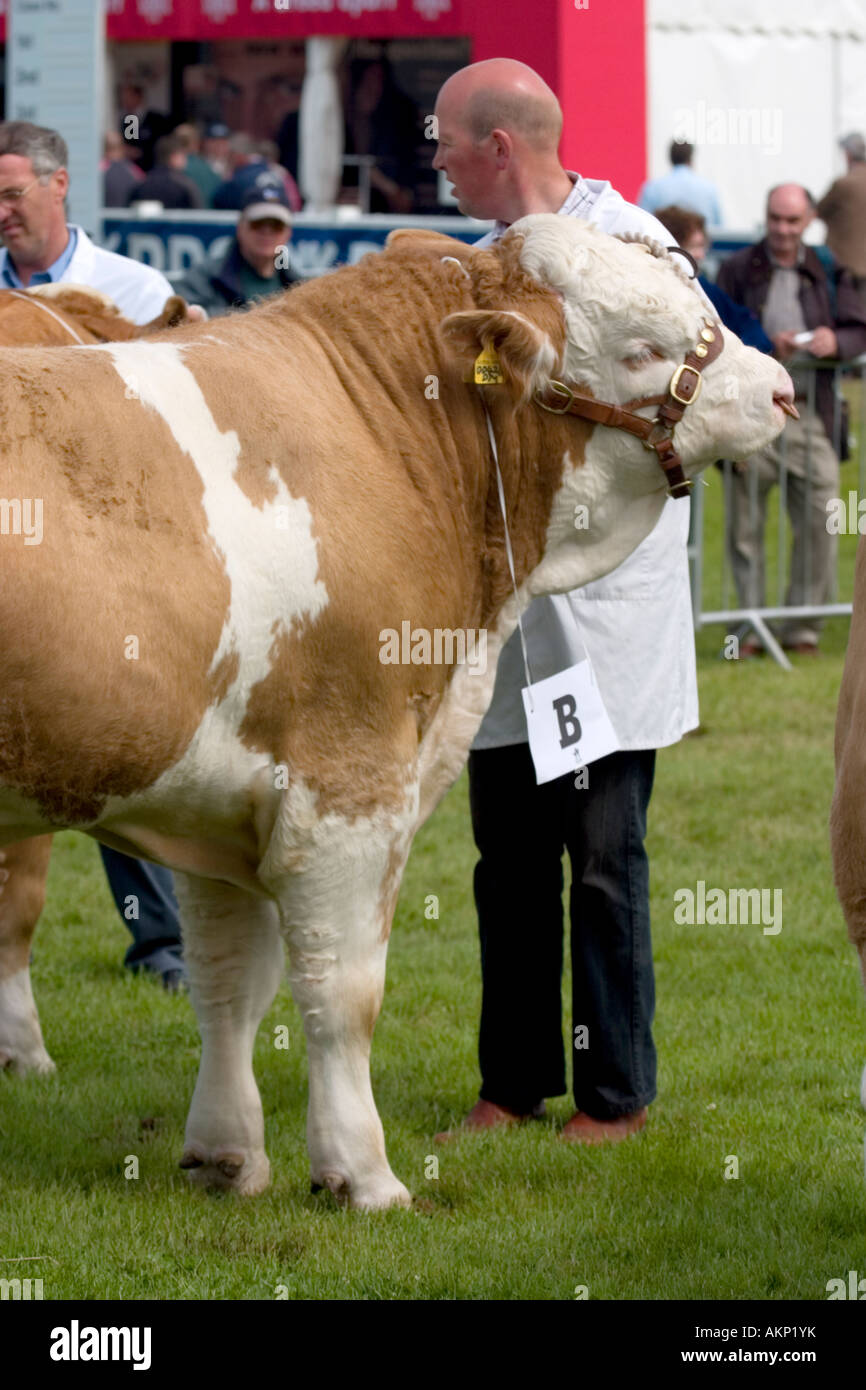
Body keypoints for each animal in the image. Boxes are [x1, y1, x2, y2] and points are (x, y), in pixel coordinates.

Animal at [0, 216, 794, 1209]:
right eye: (641, 349)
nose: (782, 387)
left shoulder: (217, 798)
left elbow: (228, 985)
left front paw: (226, 1153)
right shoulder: (349, 783)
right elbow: (343, 995)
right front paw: (362, 1173)